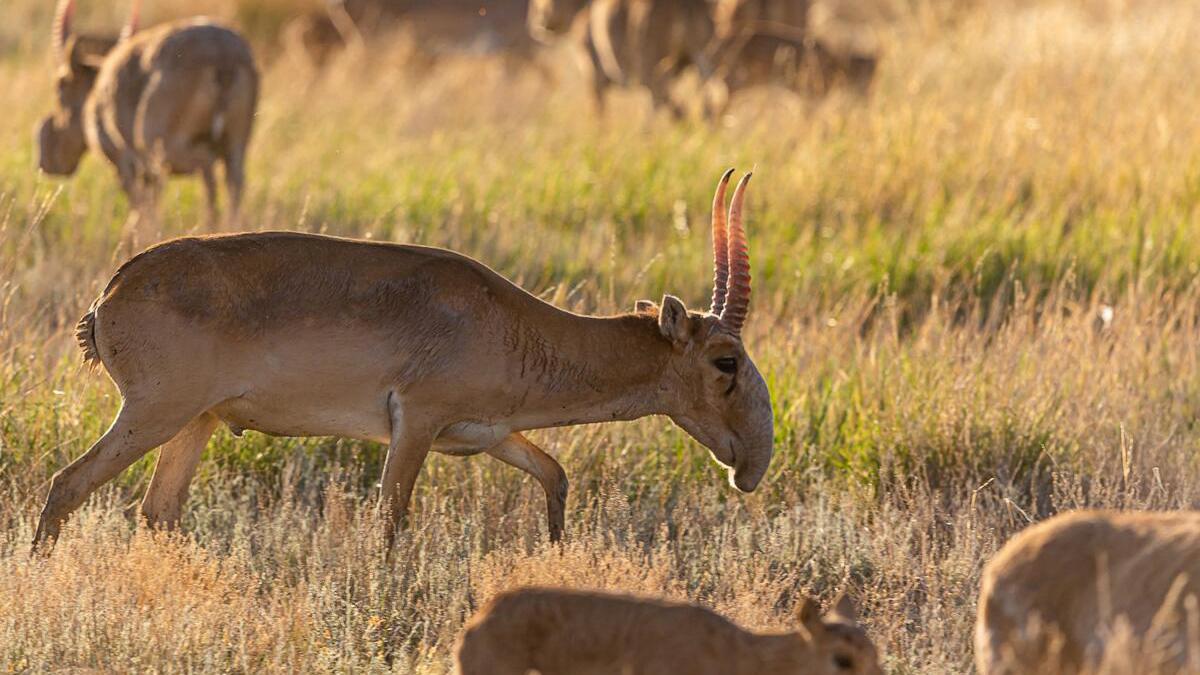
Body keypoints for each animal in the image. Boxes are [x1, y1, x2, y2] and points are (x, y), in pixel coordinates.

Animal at [33, 171, 773, 549]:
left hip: (198, 422)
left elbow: (556, 475)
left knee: (157, 512)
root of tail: (110, 293)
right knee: (67, 484)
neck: (509, 319)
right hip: (155, 413)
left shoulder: (489, 434)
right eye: (726, 361)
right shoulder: (414, 424)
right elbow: (389, 522)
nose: (751, 467)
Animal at [37, 0, 258, 229]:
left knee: (207, 165)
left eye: (60, 87)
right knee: (234, 182)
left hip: (161, 147)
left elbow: (141, 209)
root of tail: (224, 59)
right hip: (236, 144)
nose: (47, 163)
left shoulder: (126, 165)